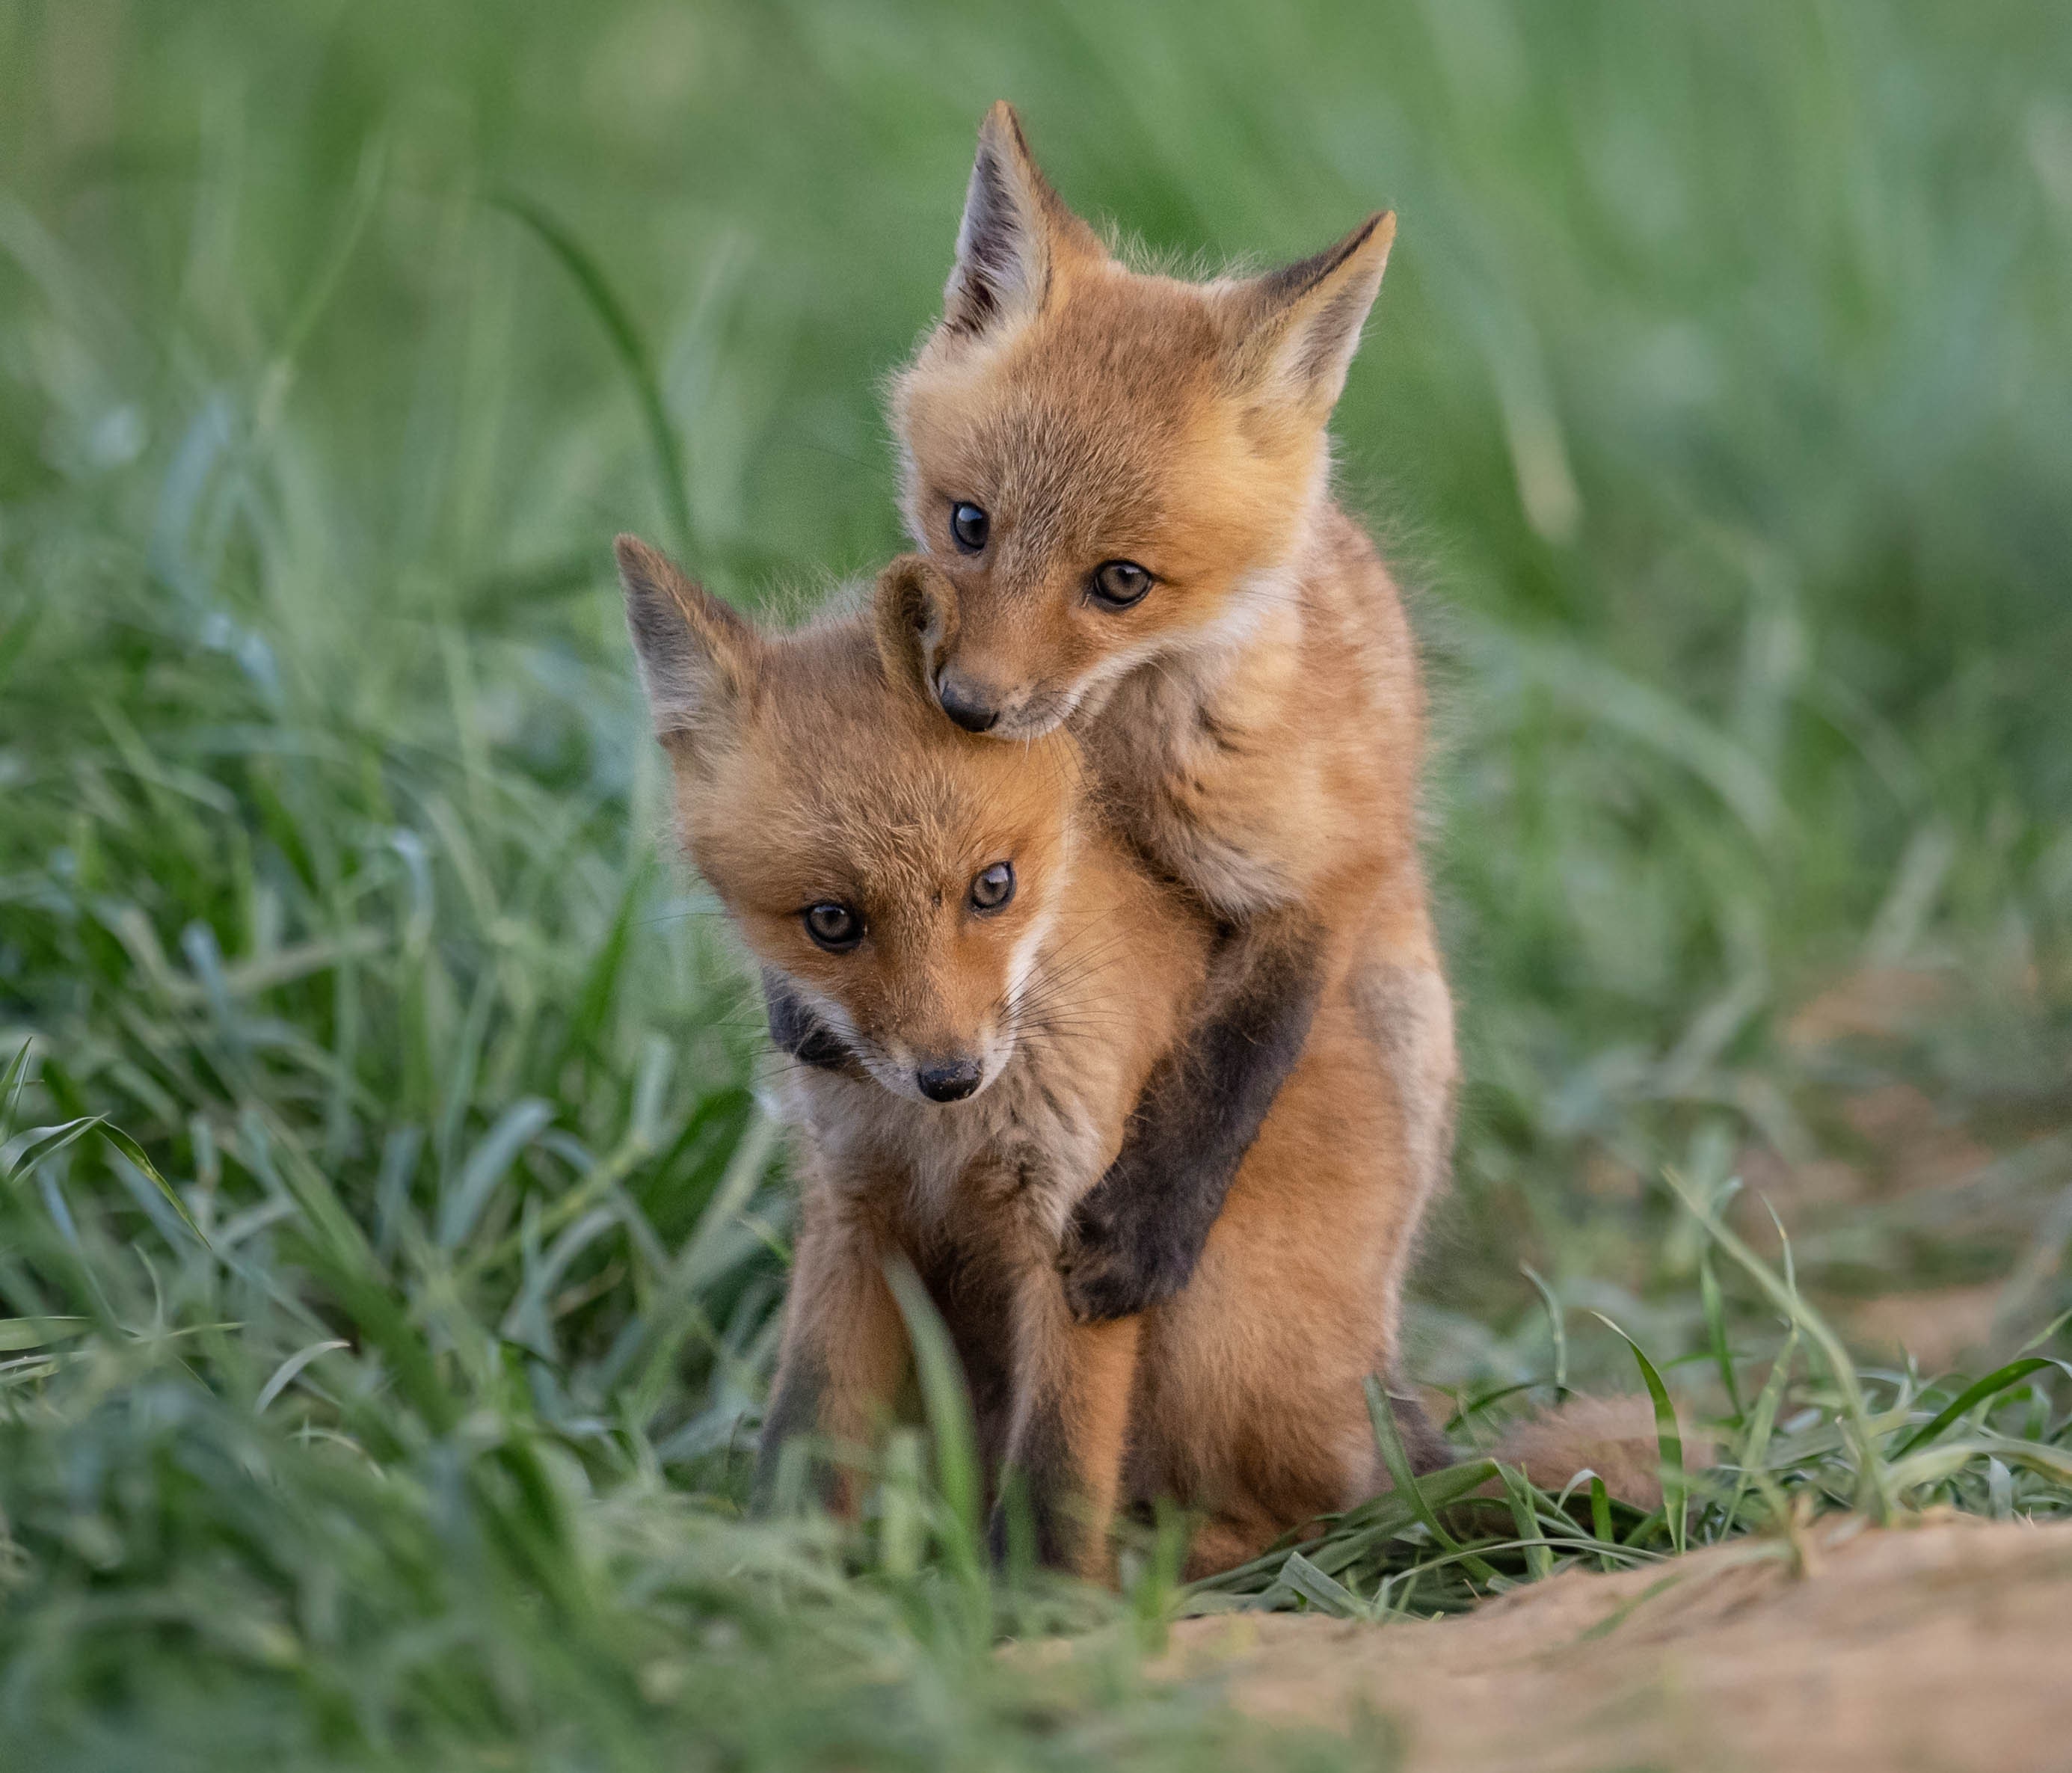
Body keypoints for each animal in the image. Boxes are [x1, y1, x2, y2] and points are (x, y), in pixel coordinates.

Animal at [618, 536, 1448, 1578]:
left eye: (993, 886)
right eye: (831, 922)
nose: (949, 1076)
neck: (946, 1142)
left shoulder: (1064, 1229)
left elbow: (1055, 1476)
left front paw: (1037, 1607)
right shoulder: (853, 1216)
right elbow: (804, 1434)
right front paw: (774, 1579)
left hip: (1209, 1327)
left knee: (1315, 1517)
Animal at [777, 102, 1459, 1331]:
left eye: (1121, 583)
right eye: (967, 523)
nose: (968, 705)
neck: (1117, 756)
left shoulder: (1321, 869)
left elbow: (1233, 1063)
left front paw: (1143, 1235)